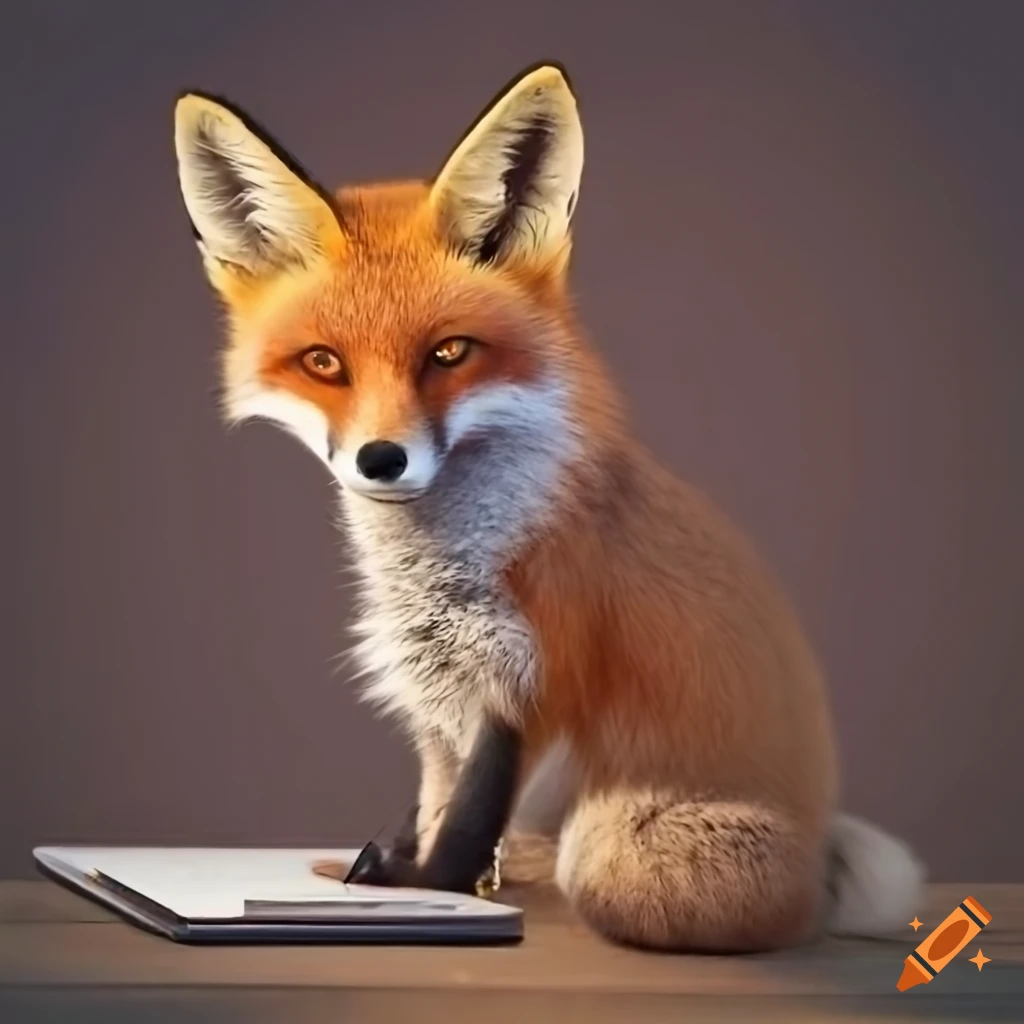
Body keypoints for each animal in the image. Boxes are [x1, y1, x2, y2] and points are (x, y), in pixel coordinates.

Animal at [172, 61, 925, 952]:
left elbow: (467, 823)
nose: (380, 459)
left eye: (449, 353)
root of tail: (820, 849)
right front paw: (404, 874)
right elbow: (440, 808)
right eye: (324, 363)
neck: (460, 564)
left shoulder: (541, 671)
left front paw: (428, 892)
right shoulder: (440, 696)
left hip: (619, 837)